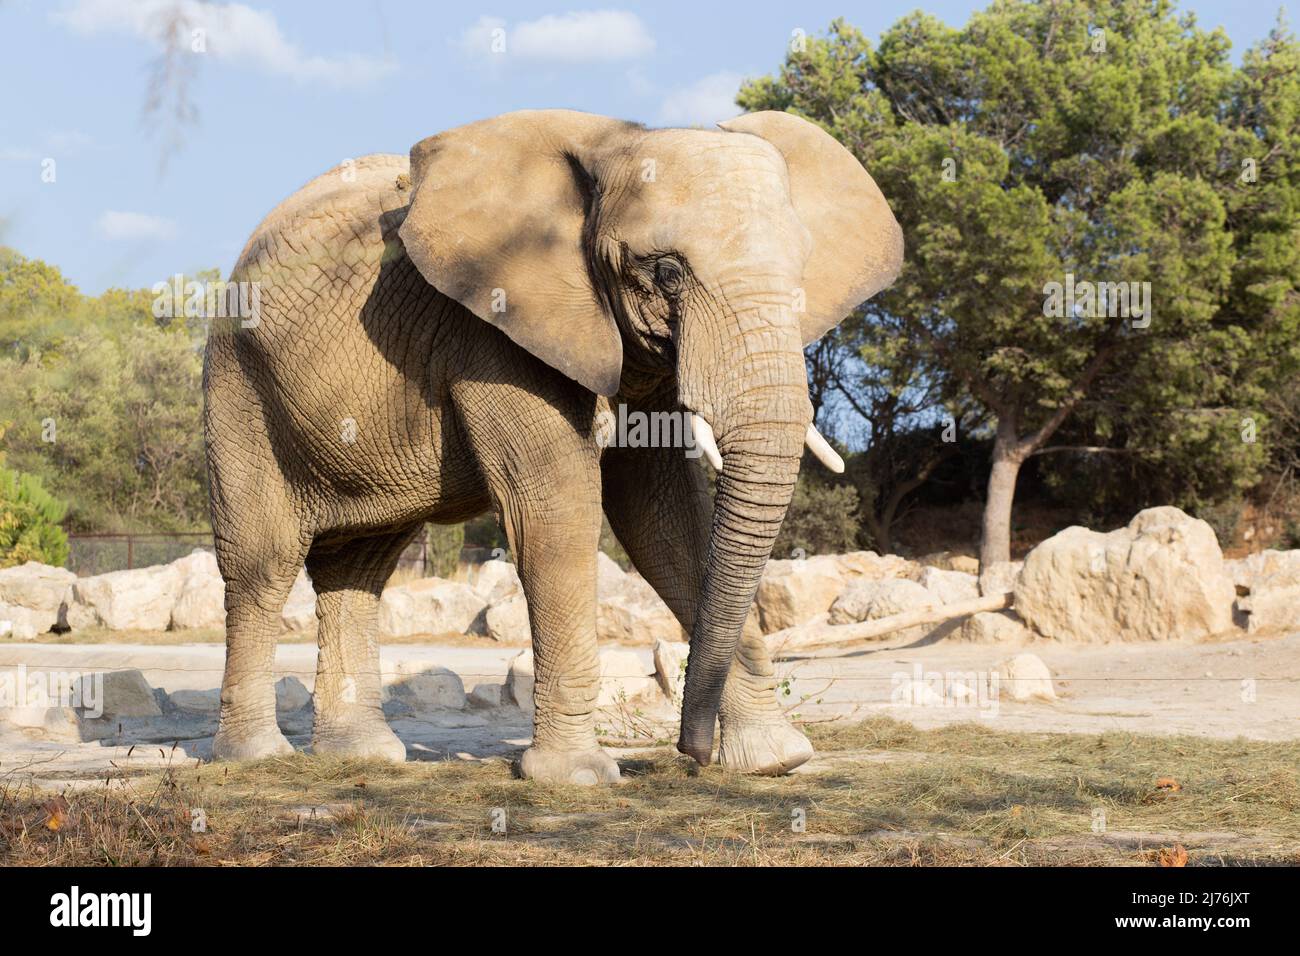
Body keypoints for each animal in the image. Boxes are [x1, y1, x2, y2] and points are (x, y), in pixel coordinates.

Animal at [203, 109, 902, 784]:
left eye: (802, 272)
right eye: (667, 272)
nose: (692, 752)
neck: (618, 143)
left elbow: (662, 517)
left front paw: (774, 759)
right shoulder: (495, 327)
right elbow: (557, 507)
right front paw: (578, 776)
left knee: (360, 567)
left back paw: (364, 758)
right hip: (239, 388)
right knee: (263, 562)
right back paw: (258, 757)